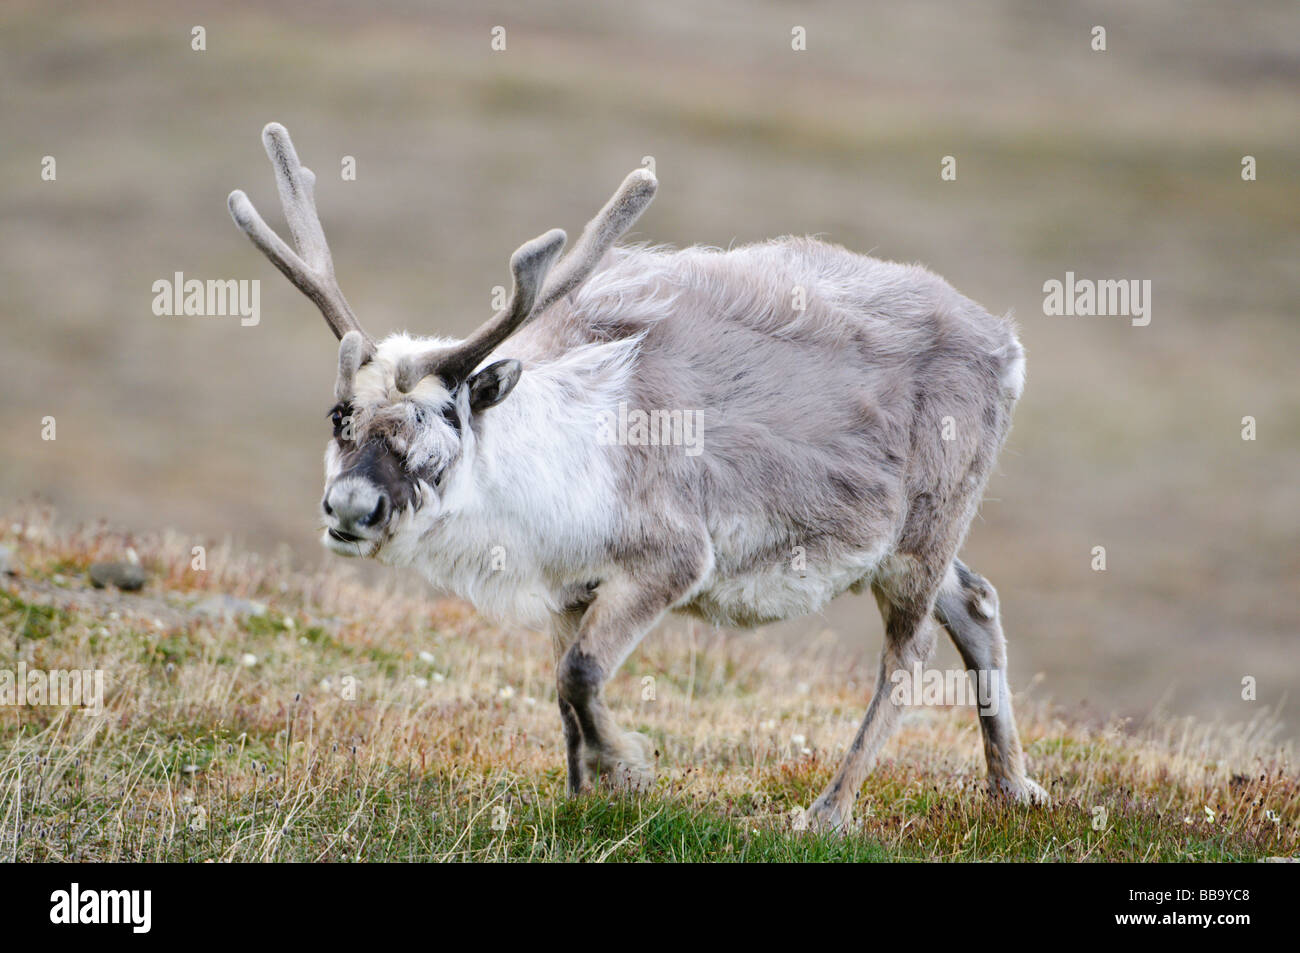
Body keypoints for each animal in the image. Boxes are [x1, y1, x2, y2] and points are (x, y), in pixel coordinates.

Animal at [228, 123, 1048, 832]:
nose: (350, 508)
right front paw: (579, 792)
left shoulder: (673, 558)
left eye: (442, 419)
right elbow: (562, 687)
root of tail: (1007, 346)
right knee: (977, 602)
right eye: (340, 413)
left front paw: (628, 769)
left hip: (921, 535)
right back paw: (1014, 787)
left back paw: (829, 811)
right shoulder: (570, 588)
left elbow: (581, 673)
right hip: (913, 546)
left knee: (908, 656)